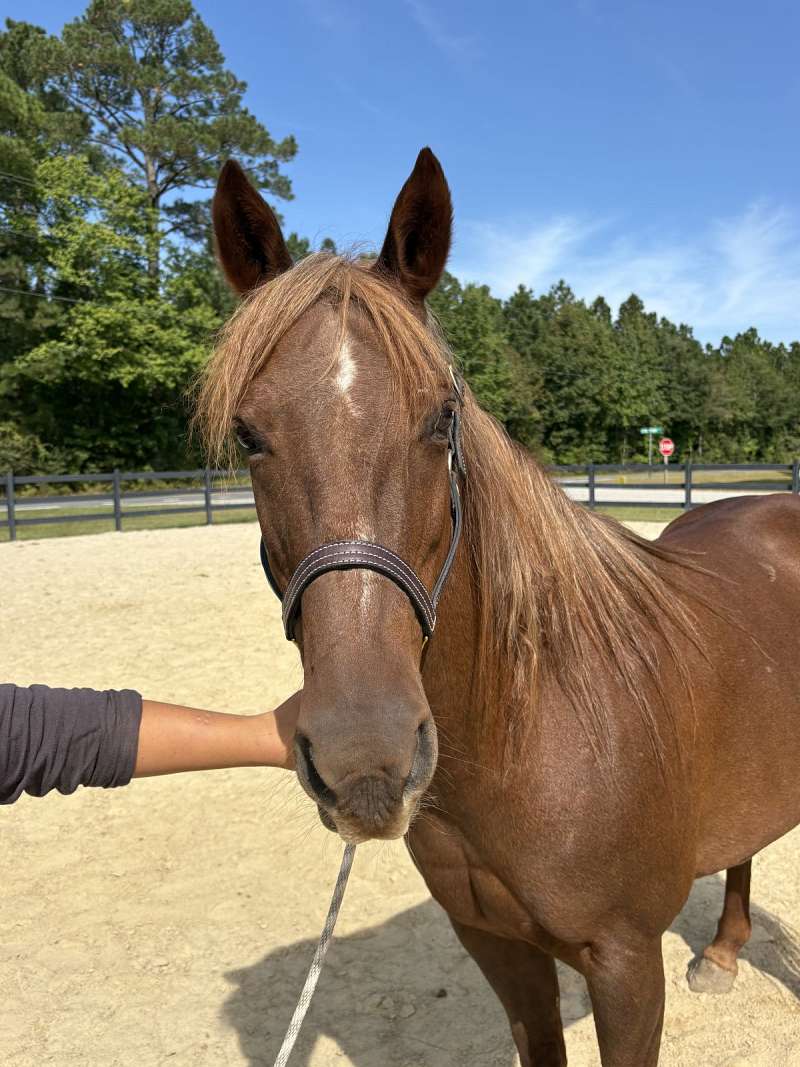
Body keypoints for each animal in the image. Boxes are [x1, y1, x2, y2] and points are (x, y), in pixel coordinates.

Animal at [196, 148, 800, 1066]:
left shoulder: (627, 964)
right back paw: (726, 950)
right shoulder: (498, 947)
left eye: (441, 416)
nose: (366, 758)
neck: (533, 729)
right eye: (250, 433)